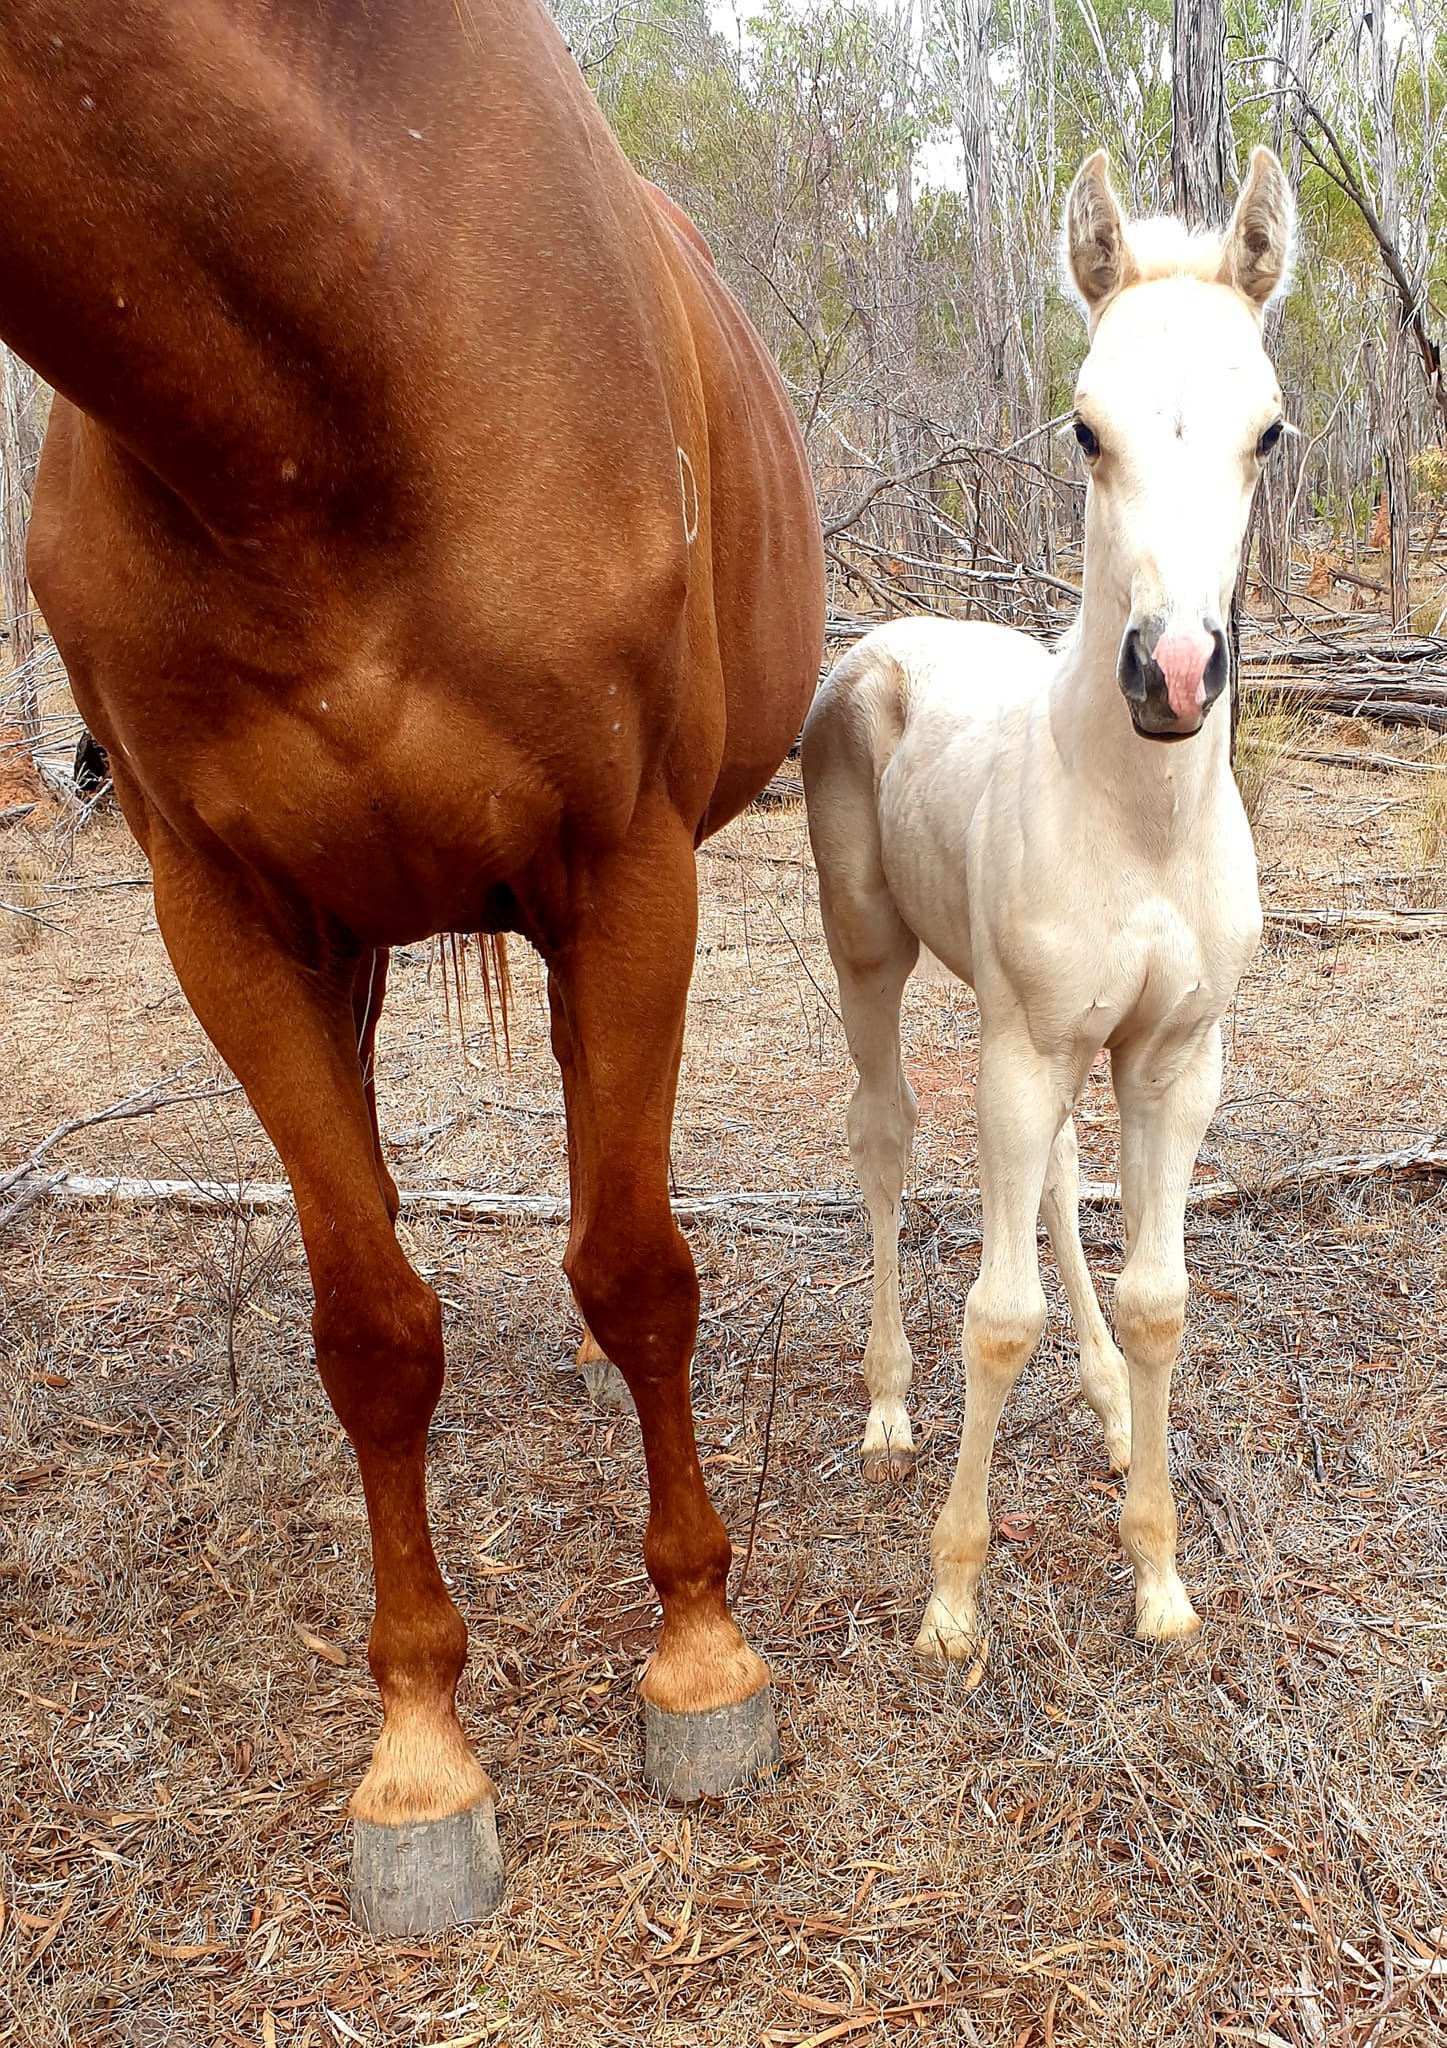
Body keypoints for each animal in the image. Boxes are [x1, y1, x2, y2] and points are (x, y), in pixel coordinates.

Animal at [0, 0, 824, 1931]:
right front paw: (422, 1751)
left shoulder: (629, 873)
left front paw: (699, 1658)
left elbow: (635, 1270)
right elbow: (371, 1326)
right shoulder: (227, 921)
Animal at [802, 148, 1294, 1669]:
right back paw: (888, 1405)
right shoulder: (1018, 1044)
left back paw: (1098, 1406)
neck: (1135, 821)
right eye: (1083, 429)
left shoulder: (1172, 1053)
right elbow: (995, 1313)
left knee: (1055, 1186)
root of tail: (887, 642)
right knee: (886, 1139)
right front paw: (952, 1597)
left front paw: (1158, 1575)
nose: (1173, 675)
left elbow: (1153, 1297)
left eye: (1267, 434)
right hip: (872, 954)